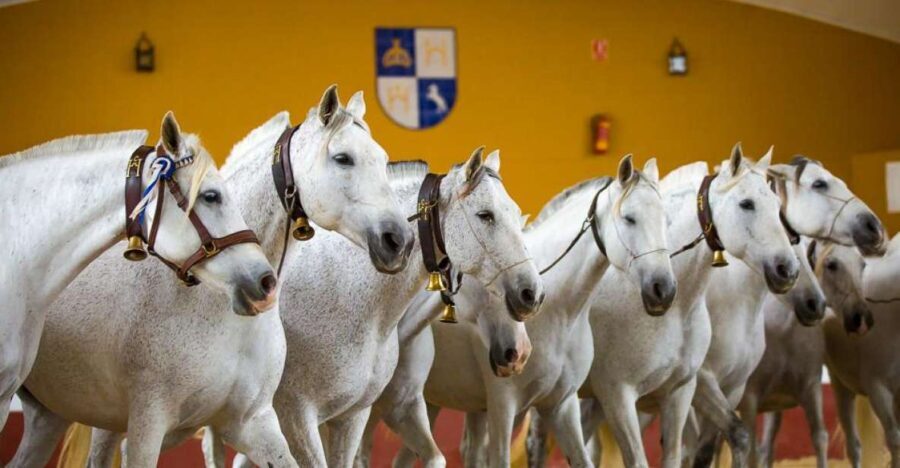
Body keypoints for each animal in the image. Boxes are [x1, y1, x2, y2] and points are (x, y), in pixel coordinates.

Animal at [382, 156, 675, 467]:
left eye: (665, 220)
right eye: (629, 218)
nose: (664, 289)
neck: (562, 313)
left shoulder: (562, 404)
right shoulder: (503, 405)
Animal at [578, 145, 800, 468]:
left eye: (775, 204)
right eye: (747, 203)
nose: (788, 270)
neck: (676, 309)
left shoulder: (690, 388)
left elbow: (725, 438)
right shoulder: (620, 392)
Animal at [738, 239, 872, 468]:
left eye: (862, 264)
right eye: (832, 265)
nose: (860, 318)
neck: (782, 330)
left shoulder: (810, 388)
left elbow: (819, 437)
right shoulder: (749, 398)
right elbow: (750, 453)